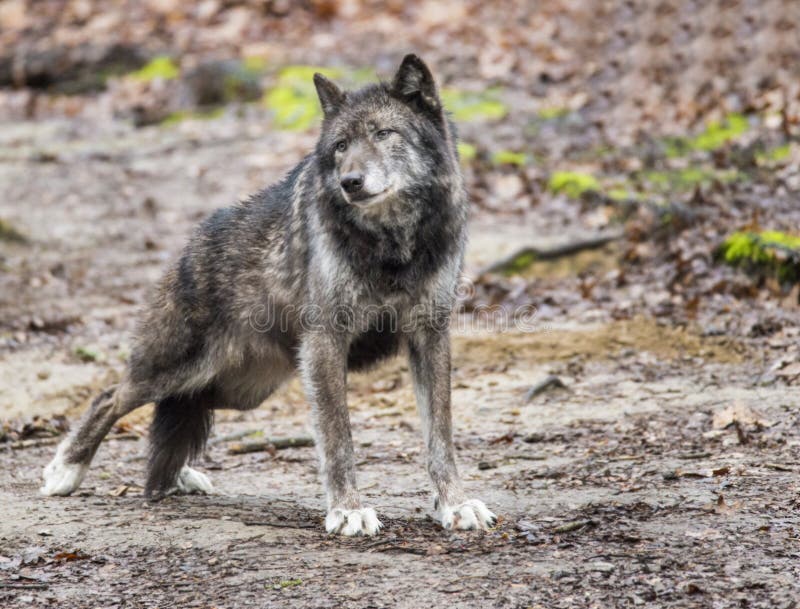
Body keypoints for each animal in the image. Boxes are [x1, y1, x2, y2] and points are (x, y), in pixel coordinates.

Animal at [41, 54, 496, 536]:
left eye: (384, 134)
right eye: (340, 145)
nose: (350, 181)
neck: (392, 247)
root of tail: (191, 243)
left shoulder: (430, 337)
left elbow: (440, 435)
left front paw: (455, 504)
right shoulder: (326, 343)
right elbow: (338, 438)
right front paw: (348, 510)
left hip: (239, 390)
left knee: (176, 412)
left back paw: (179, 477)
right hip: (180, 368)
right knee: (111, 395)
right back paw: (65, 470)